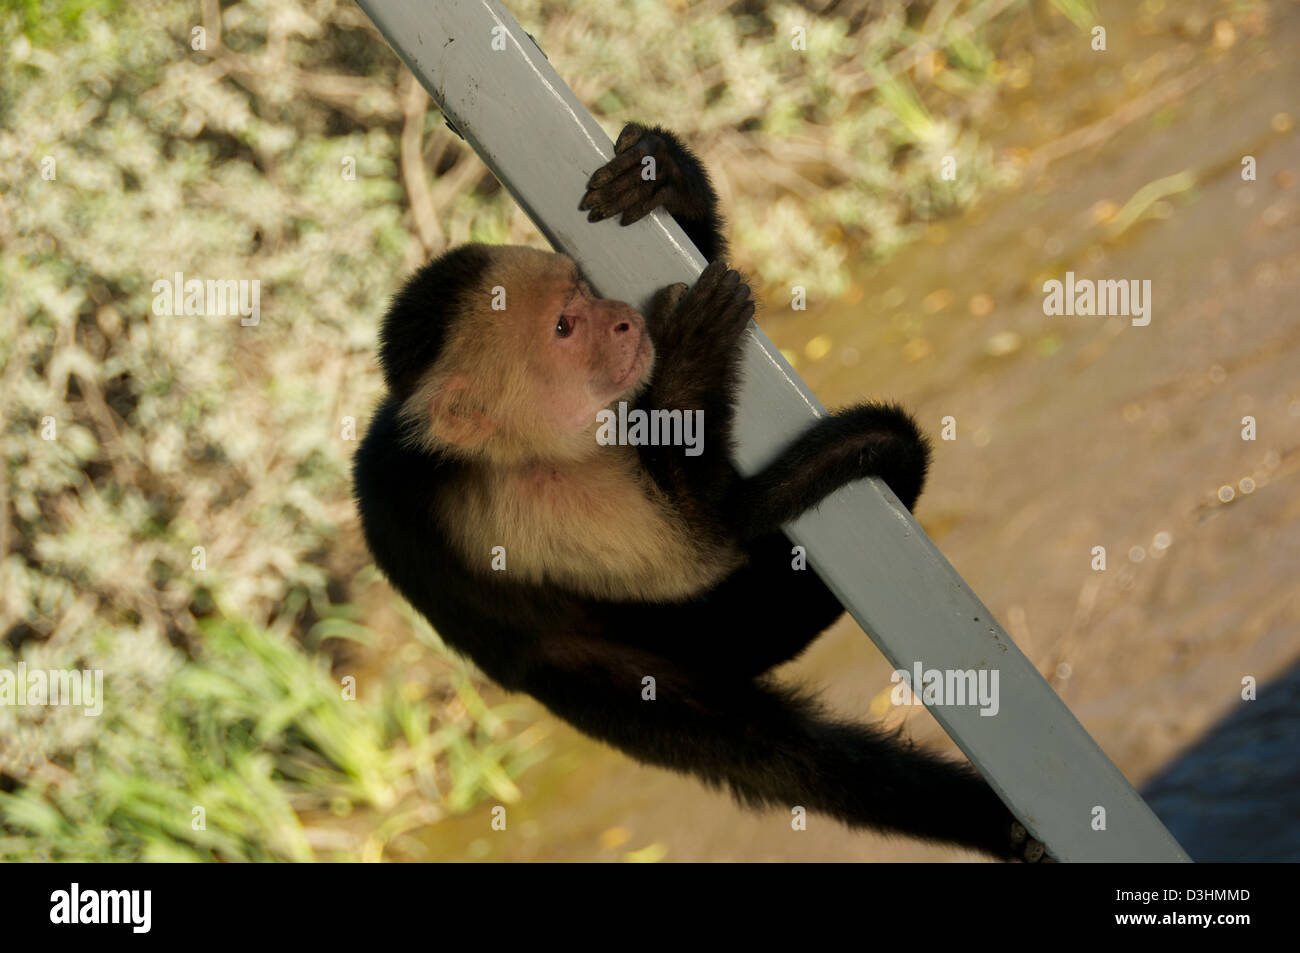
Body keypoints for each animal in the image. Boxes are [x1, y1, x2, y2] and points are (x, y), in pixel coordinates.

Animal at [354, 123, 1050, 862]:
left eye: (583, 291)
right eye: (564, 328)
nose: (622, 321)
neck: (516, 450)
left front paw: (666, 179)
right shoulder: (540, 506)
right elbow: (708, 541)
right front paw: (691, 360)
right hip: (594, 678)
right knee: (774, 752)